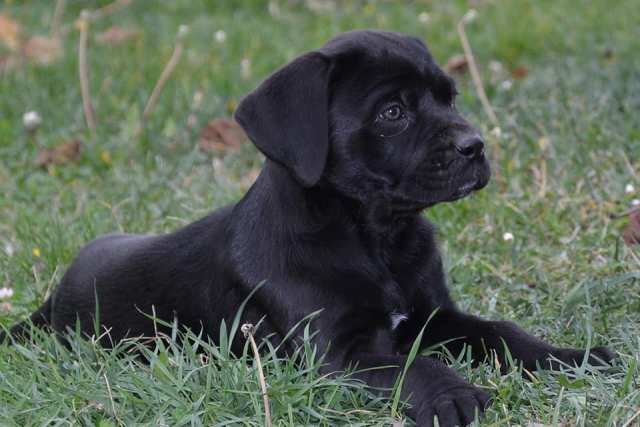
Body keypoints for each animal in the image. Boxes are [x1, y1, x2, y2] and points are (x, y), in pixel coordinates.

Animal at [5, 31, 616, 426]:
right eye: (393, 112)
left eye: (450, 97)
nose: (476, 146)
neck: (375, 236)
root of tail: (53, 295)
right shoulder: (338, 354)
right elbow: (410, 365)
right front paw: (452, 393)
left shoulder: (432, 315)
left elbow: (499, 332)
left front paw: (570, 357)